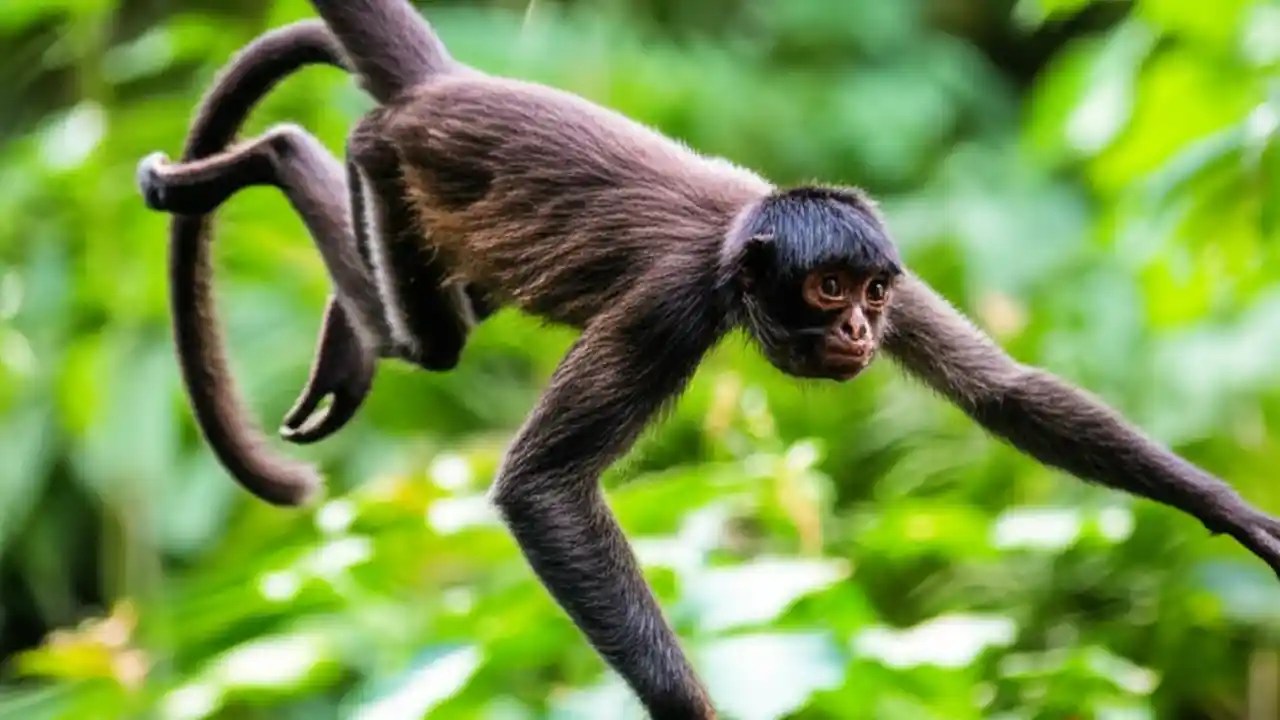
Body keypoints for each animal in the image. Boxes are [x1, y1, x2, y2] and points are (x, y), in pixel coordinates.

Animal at [136, 2, 1280, 717]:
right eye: (828, 293)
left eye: (870, 293)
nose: (860, 333)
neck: (739, 243)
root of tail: (446, 86)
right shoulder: (671, 306)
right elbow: (540, 488)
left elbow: (1007, 396)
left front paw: (1232, 513)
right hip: (390, 162)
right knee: (425, 332)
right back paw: (279, 156)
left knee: (440, 326)